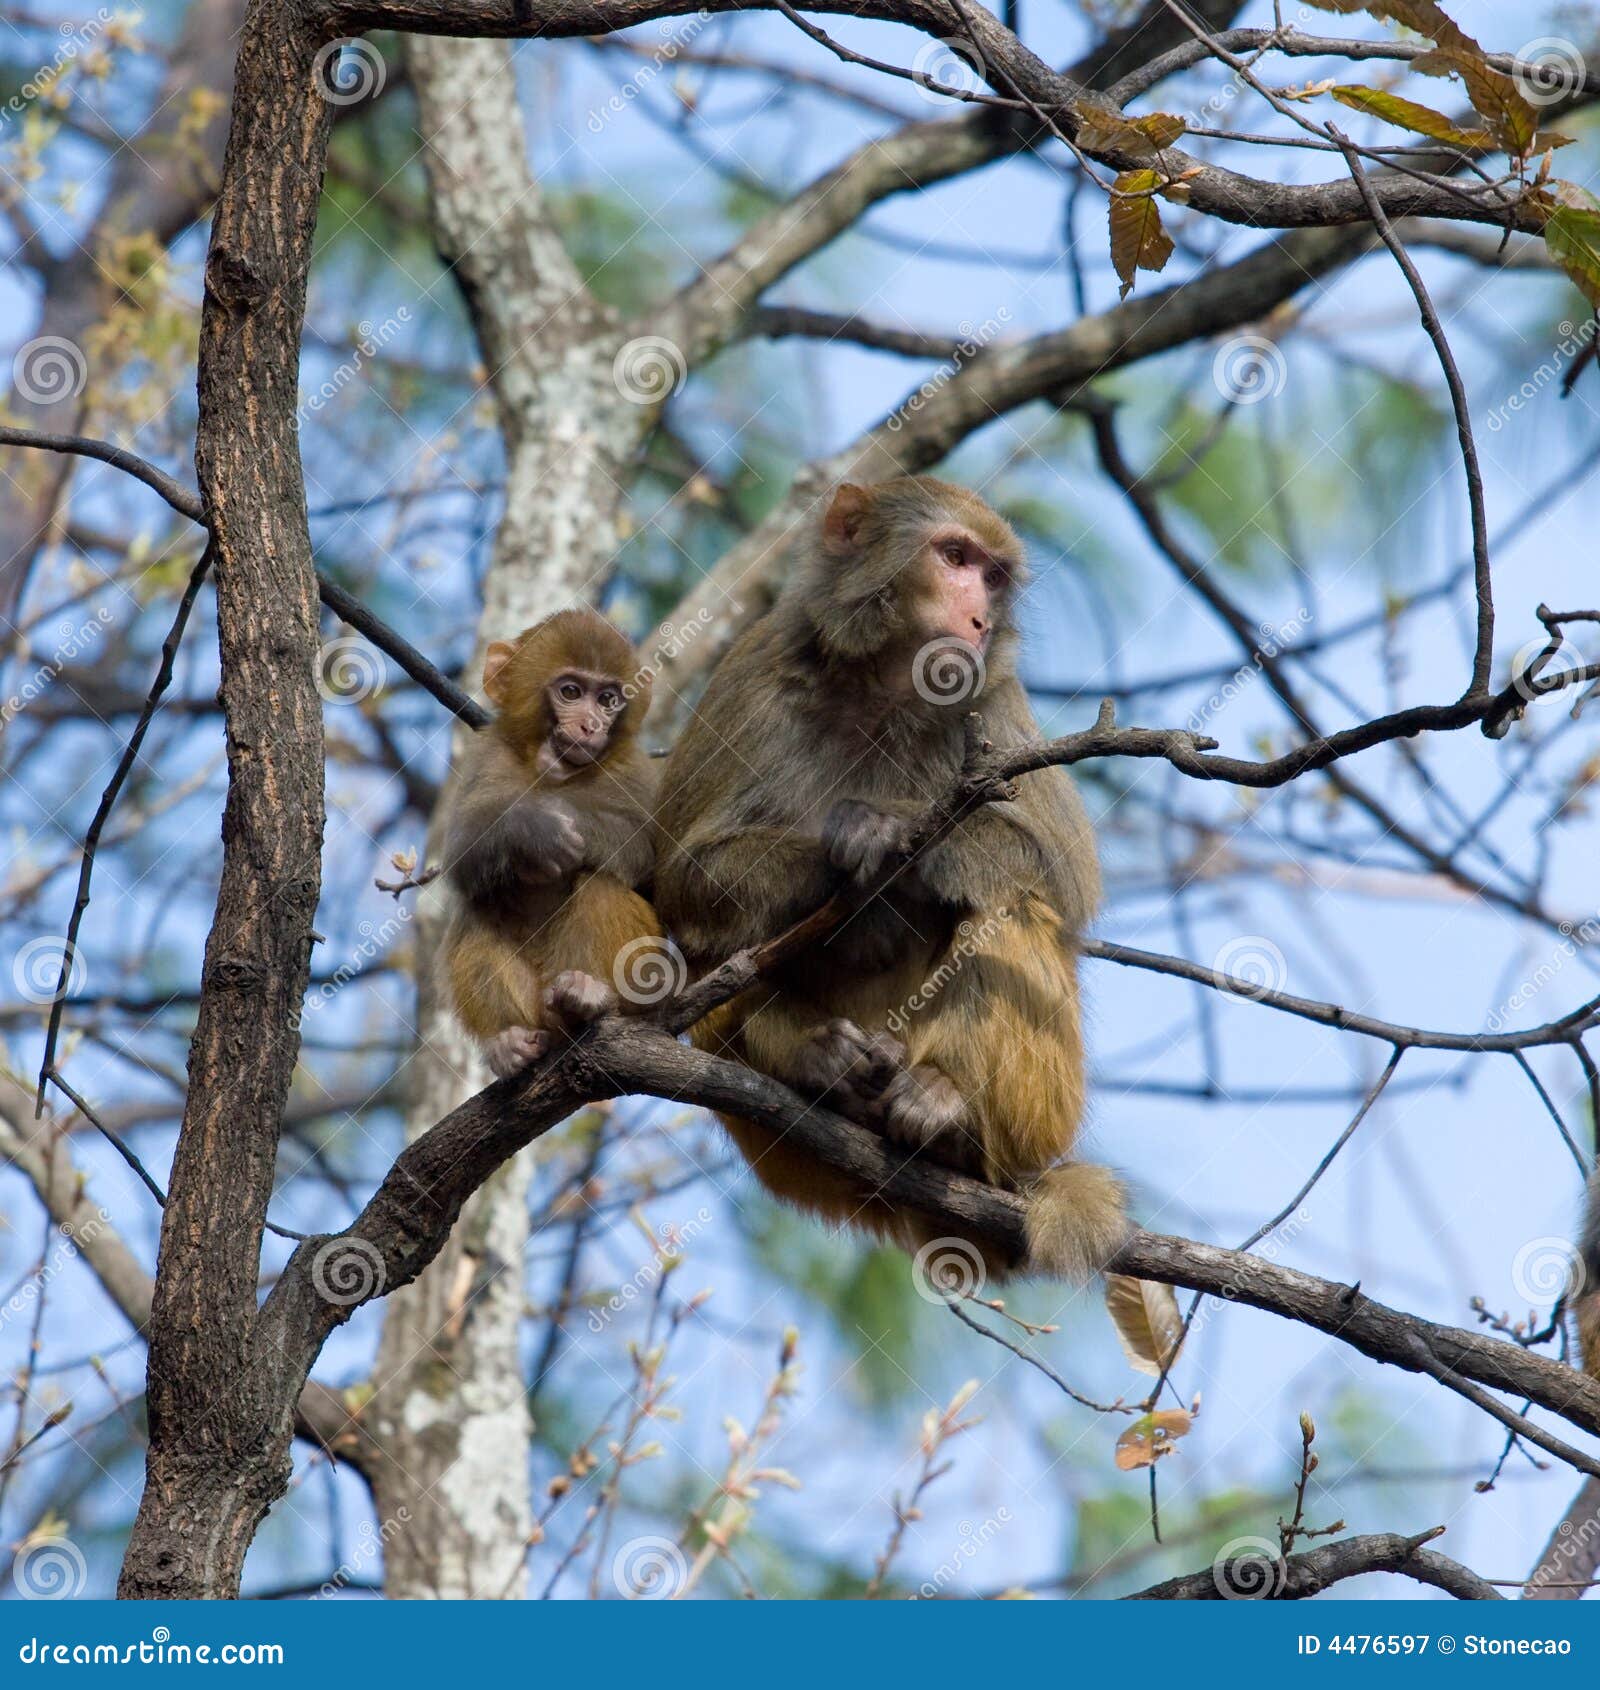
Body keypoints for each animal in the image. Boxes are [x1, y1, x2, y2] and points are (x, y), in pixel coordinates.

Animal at [444, 608, 667, 1079]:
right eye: (570, 691)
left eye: (608, 700)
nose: (590, 725)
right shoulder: (490, 757)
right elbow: (463, 853)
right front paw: (533, 830)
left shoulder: (637, 772)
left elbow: (648, 853)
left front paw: (561, 819)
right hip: (533, 1003)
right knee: (479, 904)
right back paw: (509, 1042)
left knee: (599, 882)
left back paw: (588, 995)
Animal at [654, 477, 1141, 1289]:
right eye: (955, 557)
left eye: (994, 576)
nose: (979, 618)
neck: (883, 686)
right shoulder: (758, 669)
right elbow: (678, 886)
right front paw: (848, 853)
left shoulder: (993, 702)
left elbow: (1063, 880)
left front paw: (887, 828)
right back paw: (816, 1057)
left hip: (1036, 1114)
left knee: (1012, 906)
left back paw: (947, 1113)